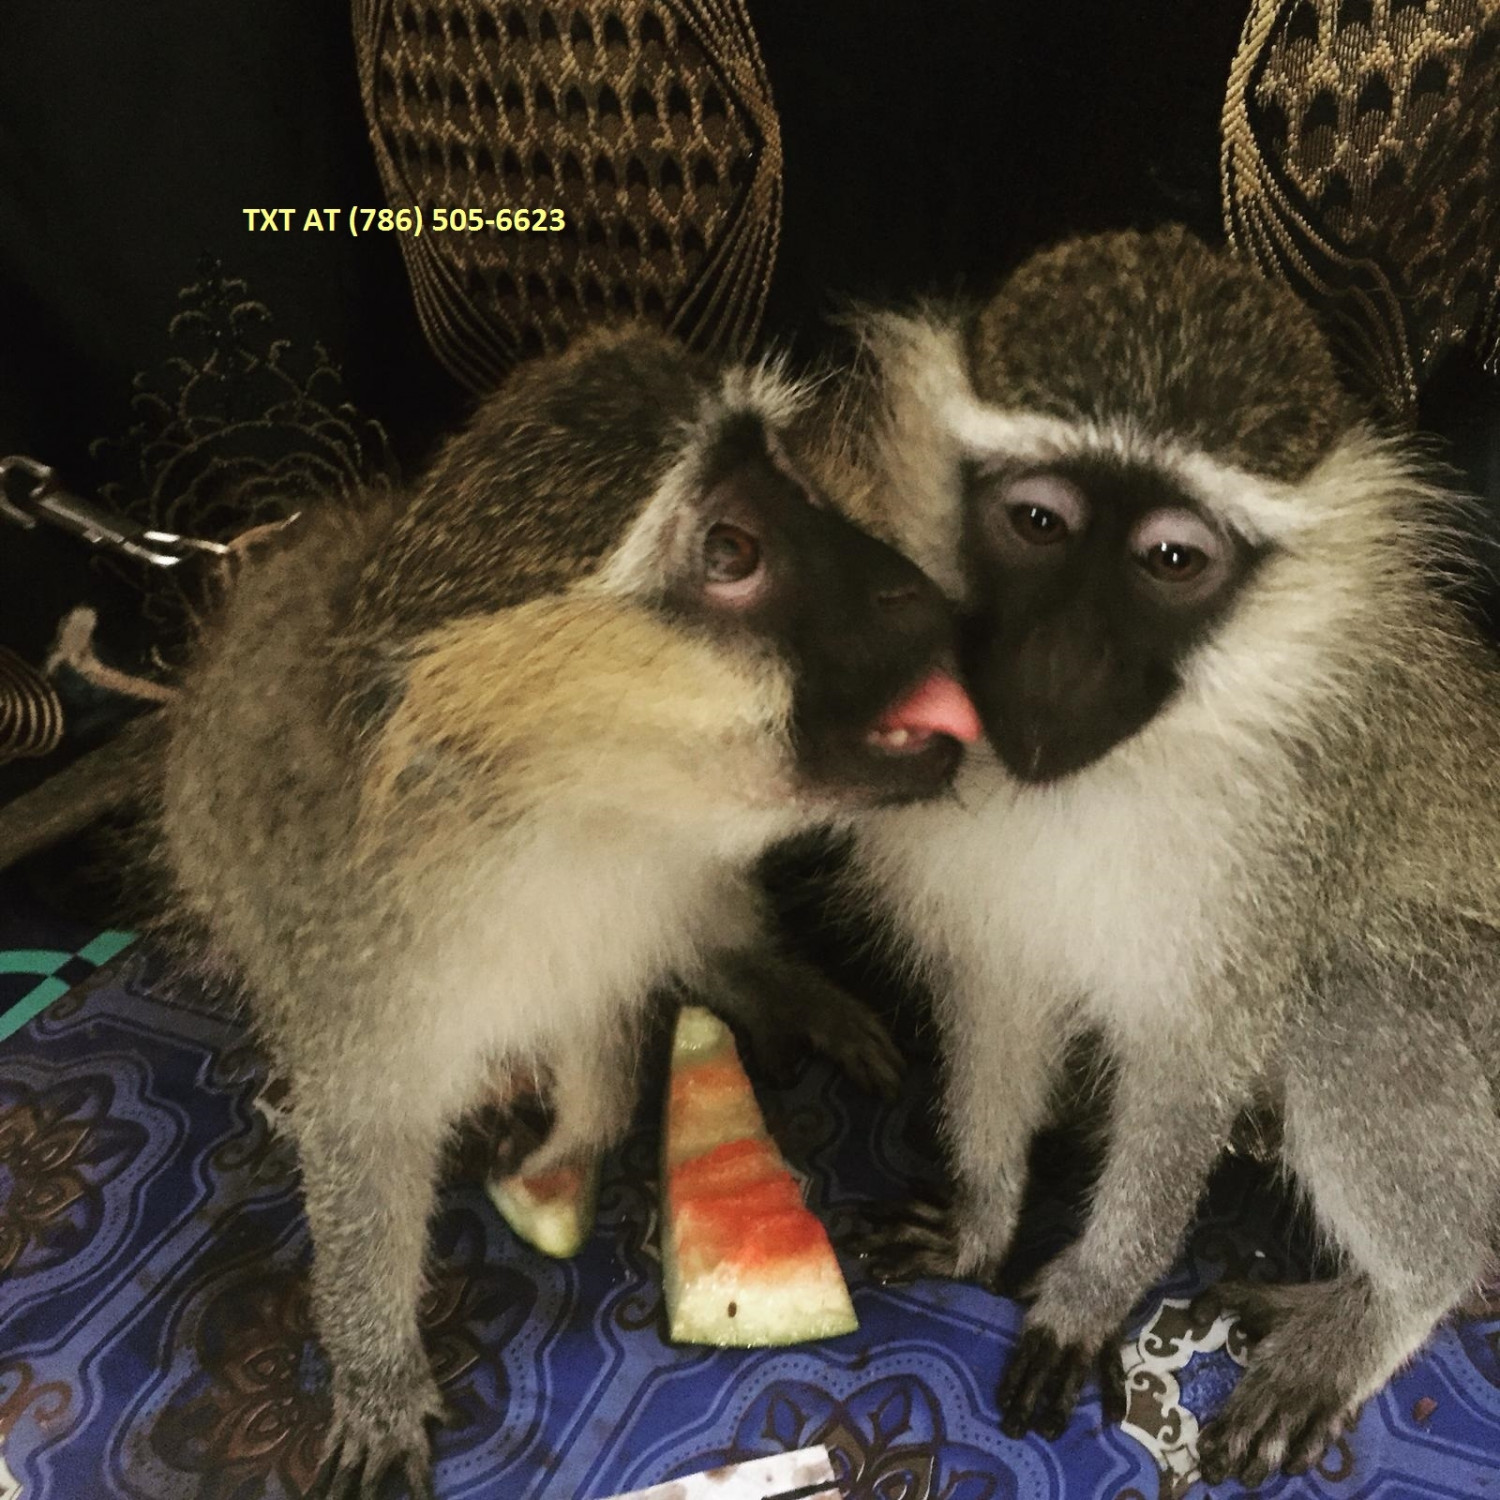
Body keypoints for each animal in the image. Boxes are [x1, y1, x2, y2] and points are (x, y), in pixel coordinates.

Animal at [153, 324, 982, 1500]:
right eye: (731, 550)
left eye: (791, 479)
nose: (910, 590)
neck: (569, 816)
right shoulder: (368, 953)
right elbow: (362, 1131)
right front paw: (375, 1374)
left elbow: (602, 1029)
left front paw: (570, 1140)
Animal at [815, 226, 1500, 1486]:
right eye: (1038, 523)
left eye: (1171, 558)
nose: (1058, 657)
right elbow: (1003, 994)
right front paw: (983, 1218)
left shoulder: (1267, 866)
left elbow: (1187, 1069)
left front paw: (1092, 1295)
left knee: (1359, 987)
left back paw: (1389, 1303)